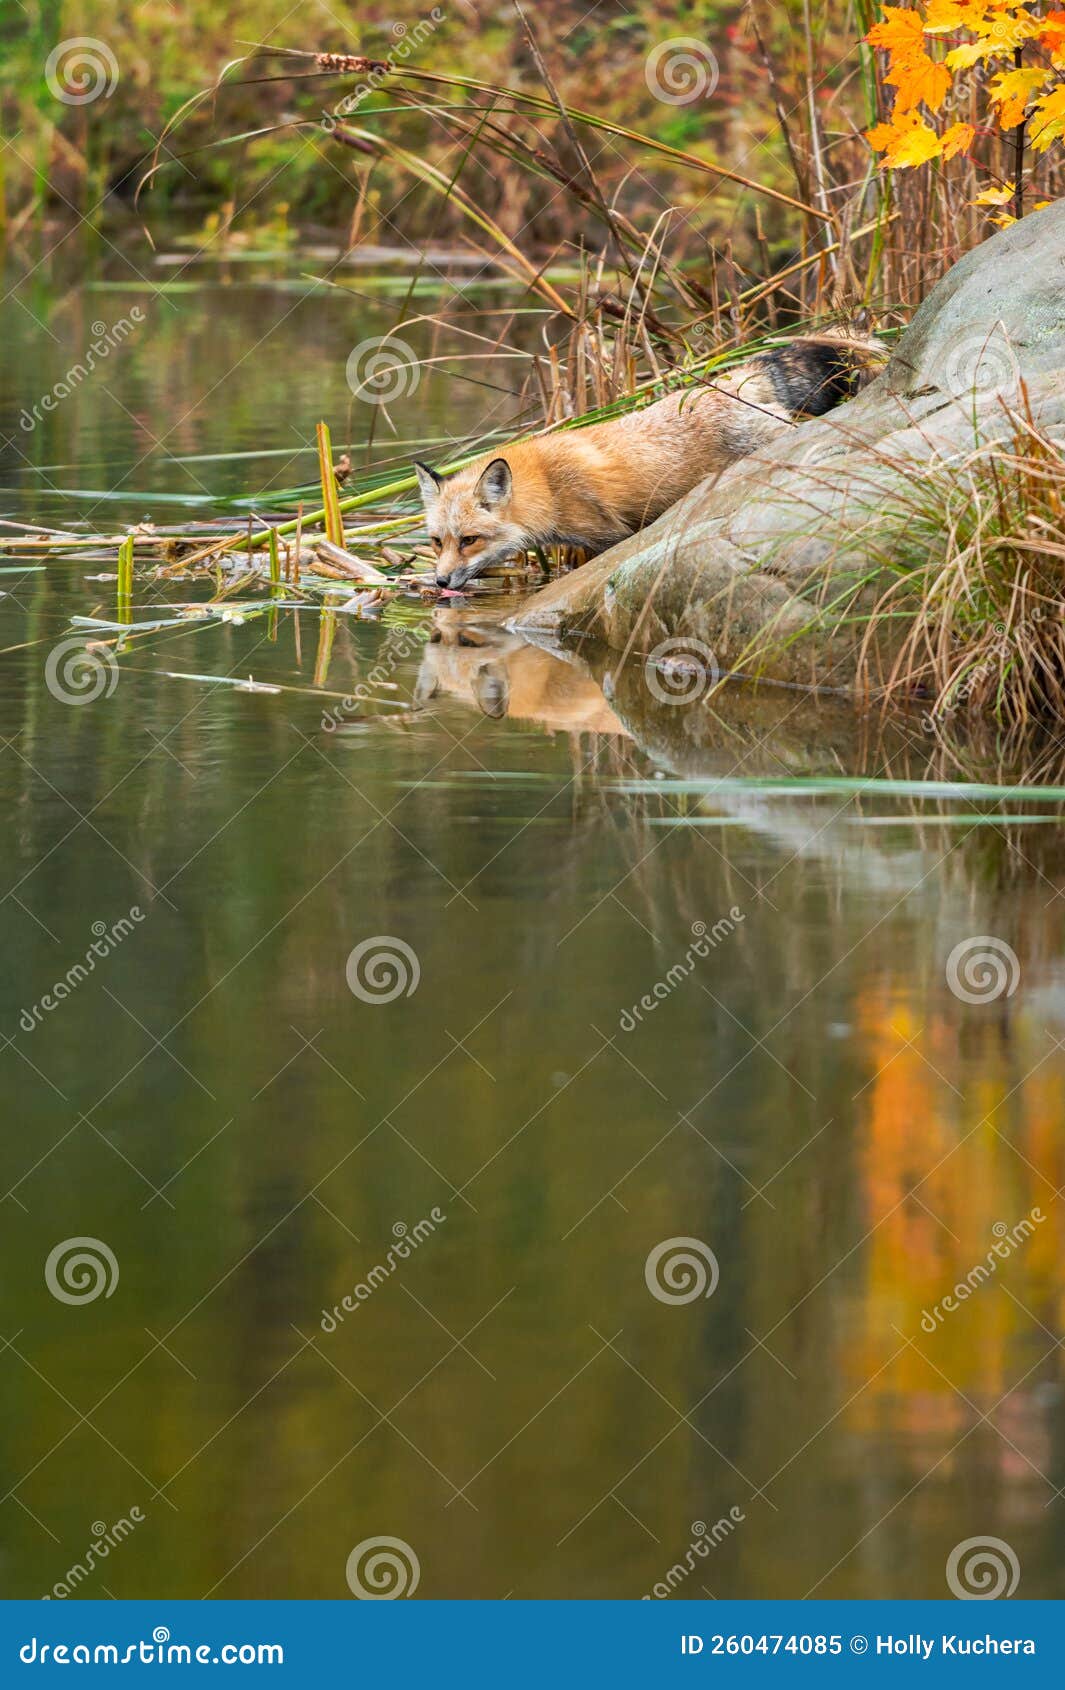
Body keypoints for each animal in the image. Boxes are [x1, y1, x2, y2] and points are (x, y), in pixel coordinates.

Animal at [414, 332, 885, 591]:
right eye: (437, 542)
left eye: (469, 540)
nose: (439, 581)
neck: (548, 484)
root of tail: (728, 382)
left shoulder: (611, 536)